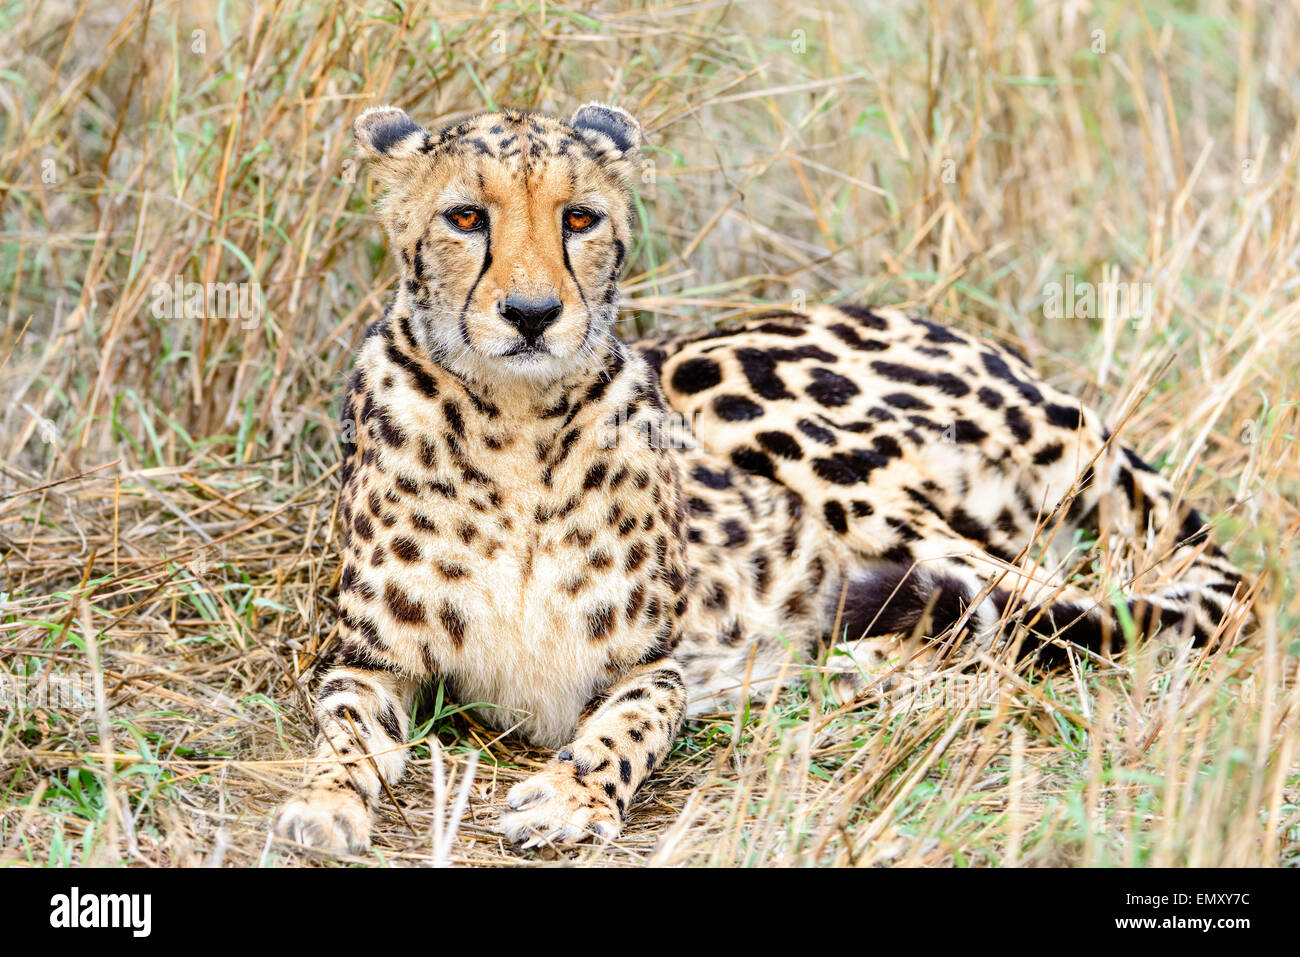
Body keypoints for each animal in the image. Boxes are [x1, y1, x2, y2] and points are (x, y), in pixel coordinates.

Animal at [273, 102, 1250, 855]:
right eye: (466, 218)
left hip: (748, 397)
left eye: (579, 219)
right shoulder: (368, 659)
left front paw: (572, 797)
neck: (512, 423)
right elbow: (343, 732)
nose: (532, 313)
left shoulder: (650, 663)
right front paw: (322, 805)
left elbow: (625, 728)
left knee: (1046, 607)